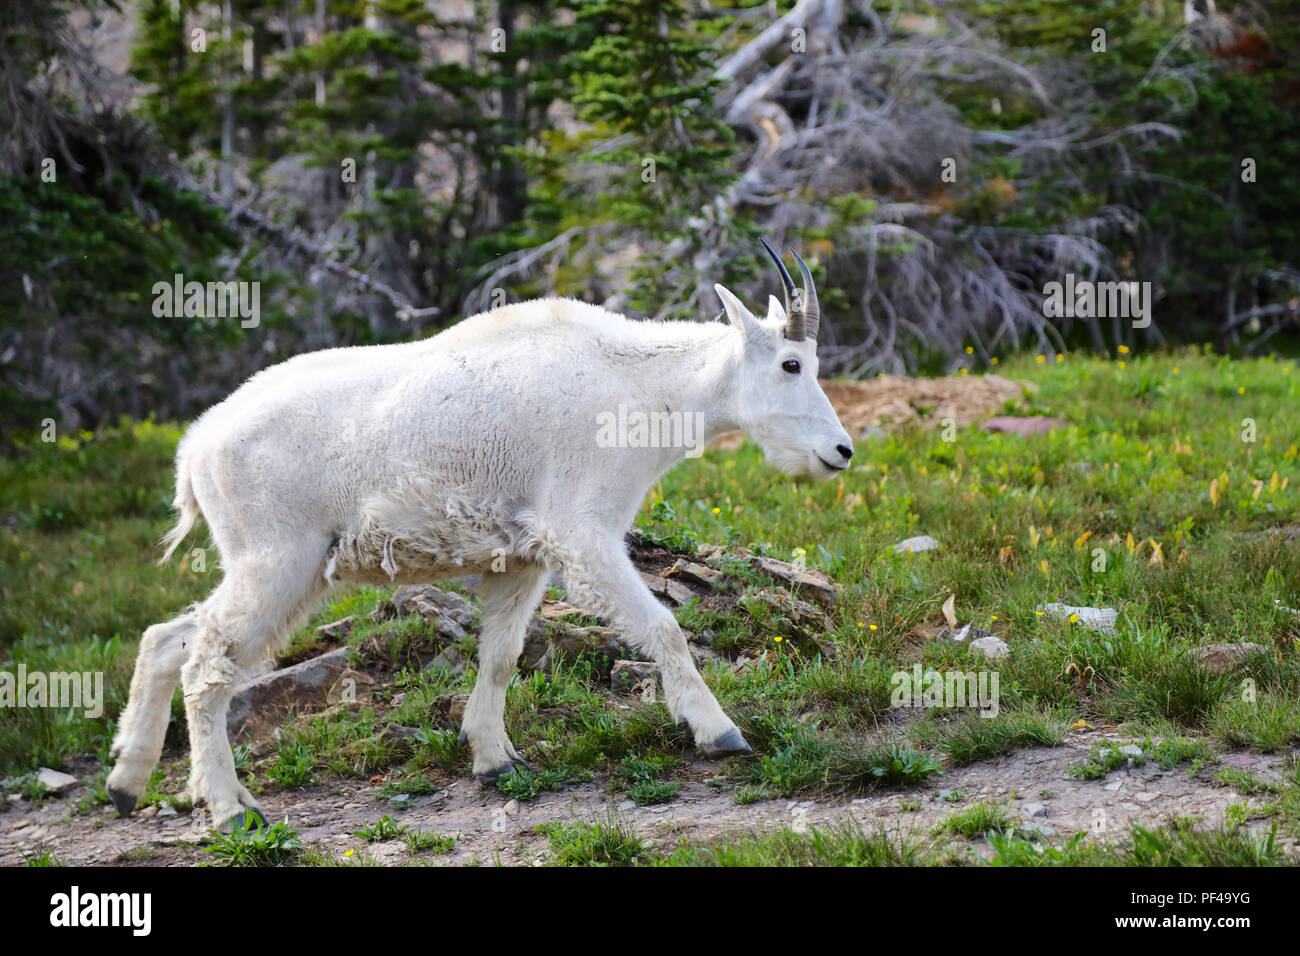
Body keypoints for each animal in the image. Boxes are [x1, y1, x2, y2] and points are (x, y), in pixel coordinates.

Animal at [106, 243, 854, 828]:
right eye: (791, 364)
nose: (842, 452)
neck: (643, 391)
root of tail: (195, 448)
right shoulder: (582, 535)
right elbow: (664, 627)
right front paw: (719, 731)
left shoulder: (521, 557)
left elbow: (499, 656)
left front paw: (496, 762)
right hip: (276, 558)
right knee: (206, 665)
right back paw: (231, 808)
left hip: (286, 568)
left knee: (167, 639)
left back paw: (127, 783)